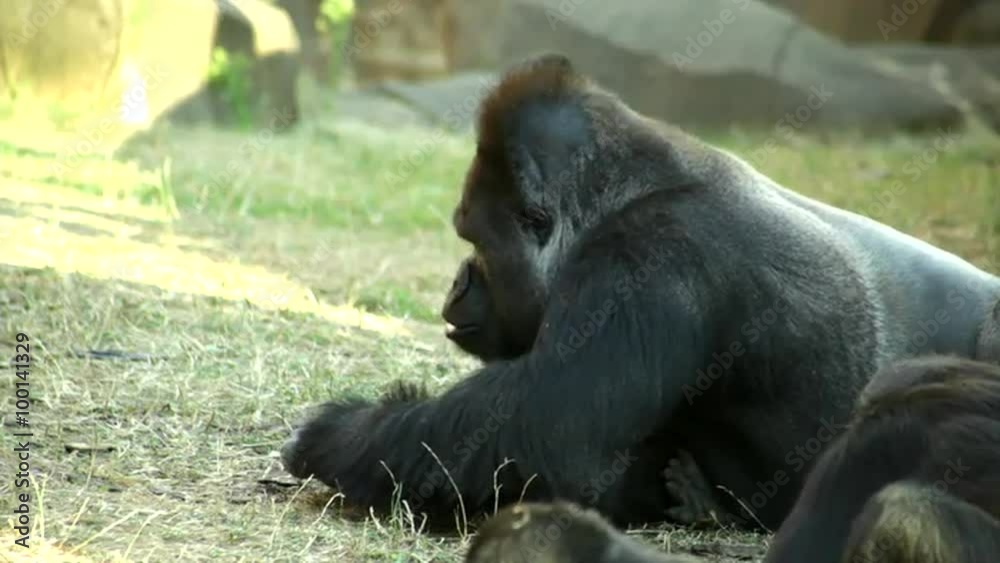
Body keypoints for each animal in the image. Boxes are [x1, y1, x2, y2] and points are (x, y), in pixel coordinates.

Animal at [281, 53, 1000, 531]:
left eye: (475, 239)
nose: (458, 281)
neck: (626, 193)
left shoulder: (649, 257)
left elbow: (545, 423)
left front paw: (340, 436)